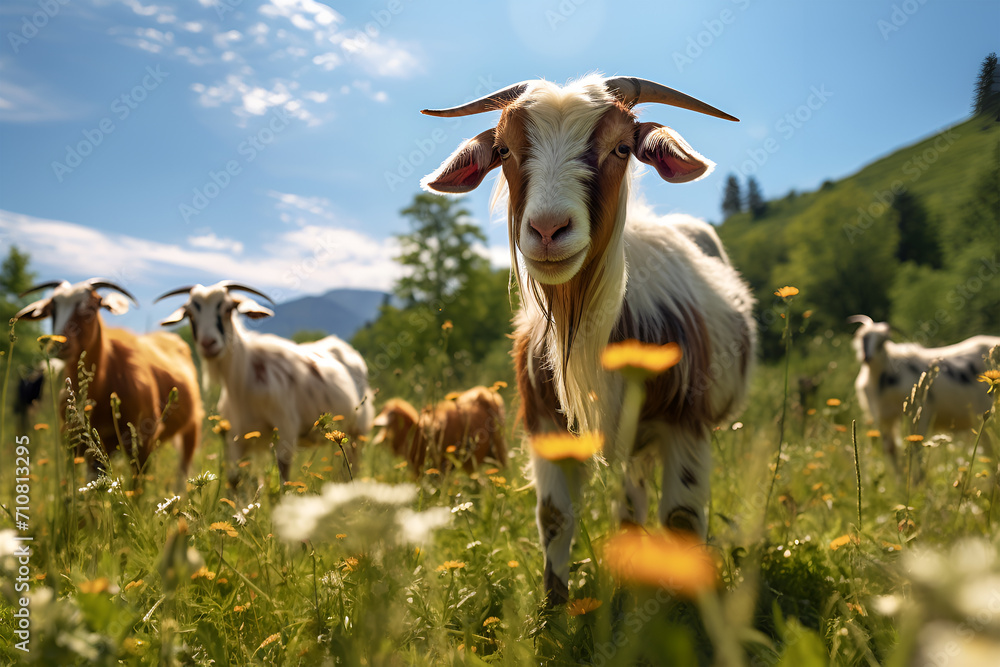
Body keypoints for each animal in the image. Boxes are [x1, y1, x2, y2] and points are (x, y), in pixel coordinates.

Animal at [14, 279, 203, 483]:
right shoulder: (81, 446)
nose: (60, 343)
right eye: (51, 309)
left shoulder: (143, 440)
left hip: (192, 427)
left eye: (92, 306)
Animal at [156, 282, 375, 486]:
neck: (242, 382)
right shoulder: (236, 437)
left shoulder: (285, 429)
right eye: (190, 314)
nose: (208, 344)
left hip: (357, 432)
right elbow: (234, 480)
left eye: (227, 309)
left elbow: (284, 478)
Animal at [420, 75, 756, 604]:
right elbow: (555, 520)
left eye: (621, 147)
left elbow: (681, 520)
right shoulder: (546, 424)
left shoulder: (686, 423)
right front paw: (553, 611)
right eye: (503, 149)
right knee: (629, 502)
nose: (547, 229)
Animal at [849, 315, 999, 467]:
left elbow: (915, 450)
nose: (867, 357)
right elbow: (891, 450)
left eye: (882, 341)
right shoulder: (881, 417)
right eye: (863, 338)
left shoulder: (920, 414)